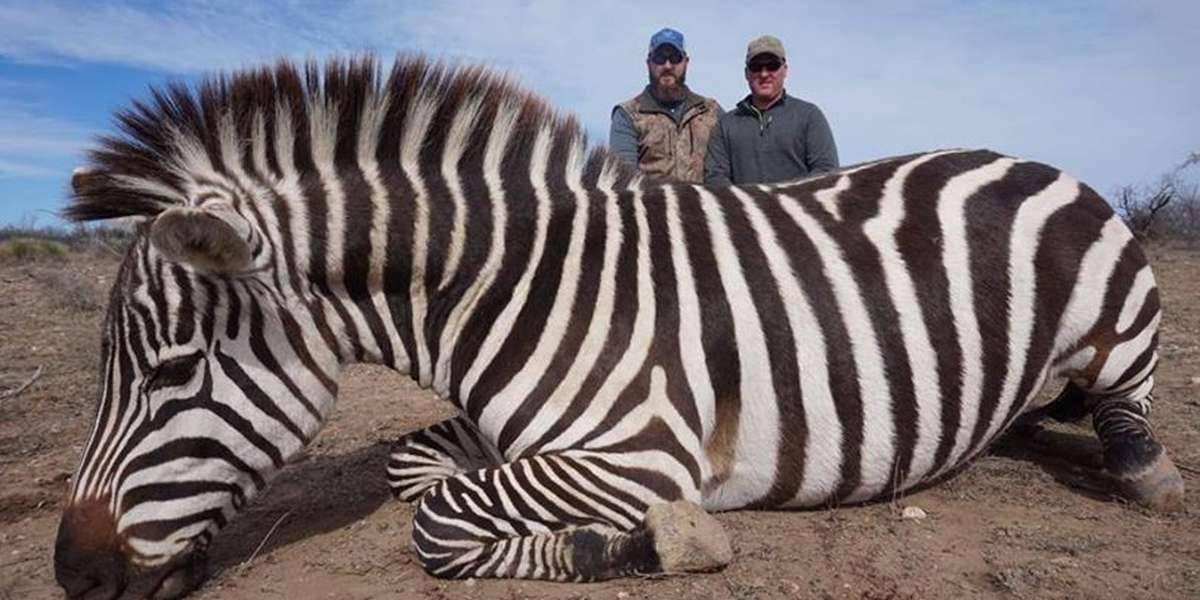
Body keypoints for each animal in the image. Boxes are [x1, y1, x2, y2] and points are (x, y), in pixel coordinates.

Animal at [54, 55, 1184, 598]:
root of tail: (1034, 160)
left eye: (169, 371)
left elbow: (439, 521)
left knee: (1128, 412)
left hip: (1121, 315)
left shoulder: (642, 451)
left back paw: (1141, 463)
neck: (521, 287)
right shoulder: (513, 432)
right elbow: (414, 473)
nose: (74, 575)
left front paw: (642, 547)